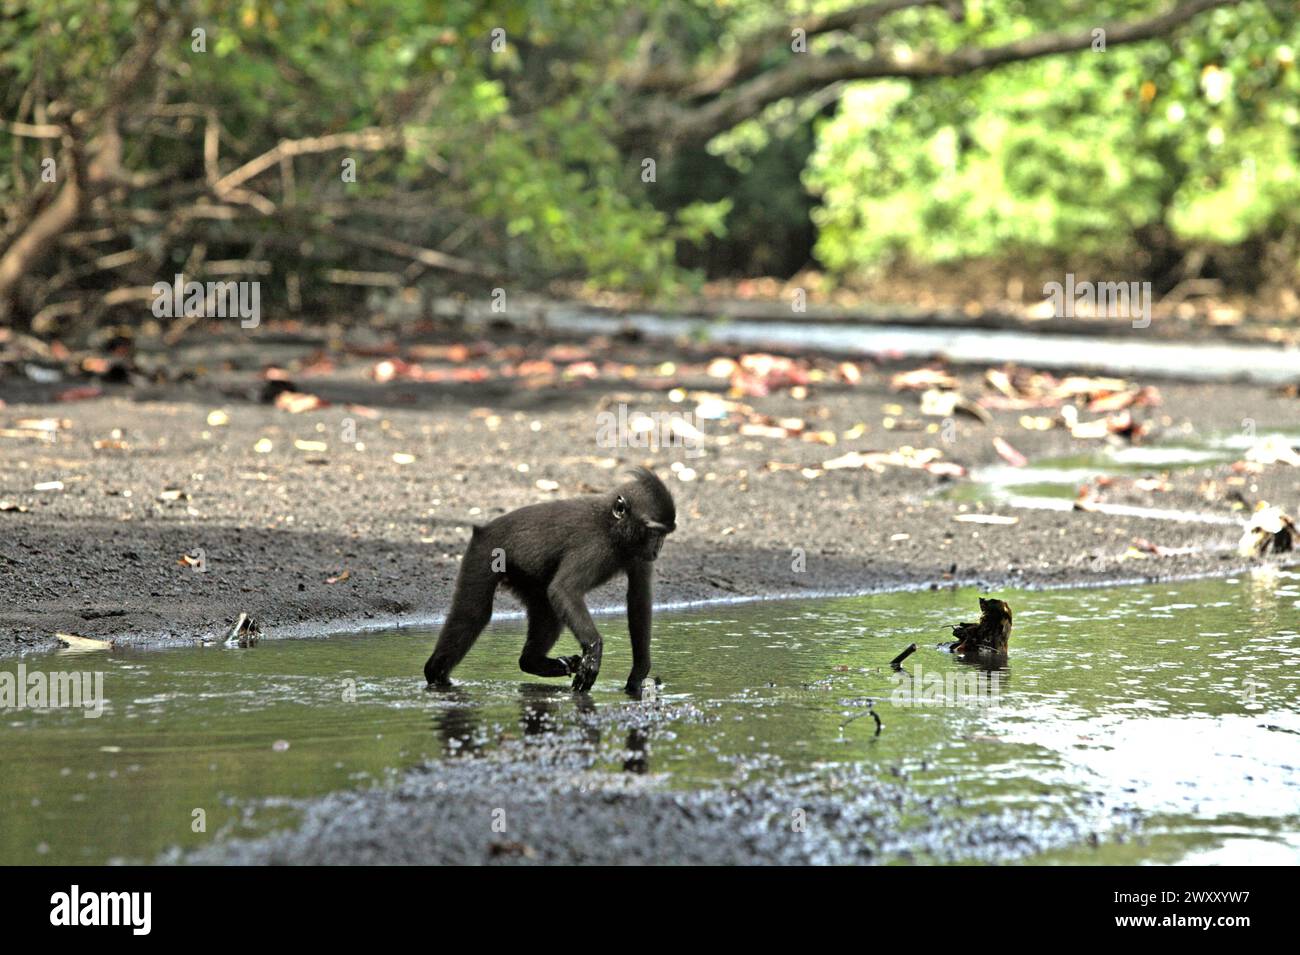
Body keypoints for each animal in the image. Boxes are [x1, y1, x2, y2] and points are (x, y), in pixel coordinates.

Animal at [423, 467, 676, 695]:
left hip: (526, 579)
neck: (611, 527)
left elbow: (639, 600)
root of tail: (483, 529)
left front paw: (637, 678)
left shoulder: (638, 555)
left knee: (546, 612)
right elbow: (564, 590)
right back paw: (435, 675)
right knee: (474, 612)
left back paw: (536, 663)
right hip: (484, 552)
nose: (657, 549)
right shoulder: (594, 546)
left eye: (664, 534)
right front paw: (593, 654)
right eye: (654, 532)